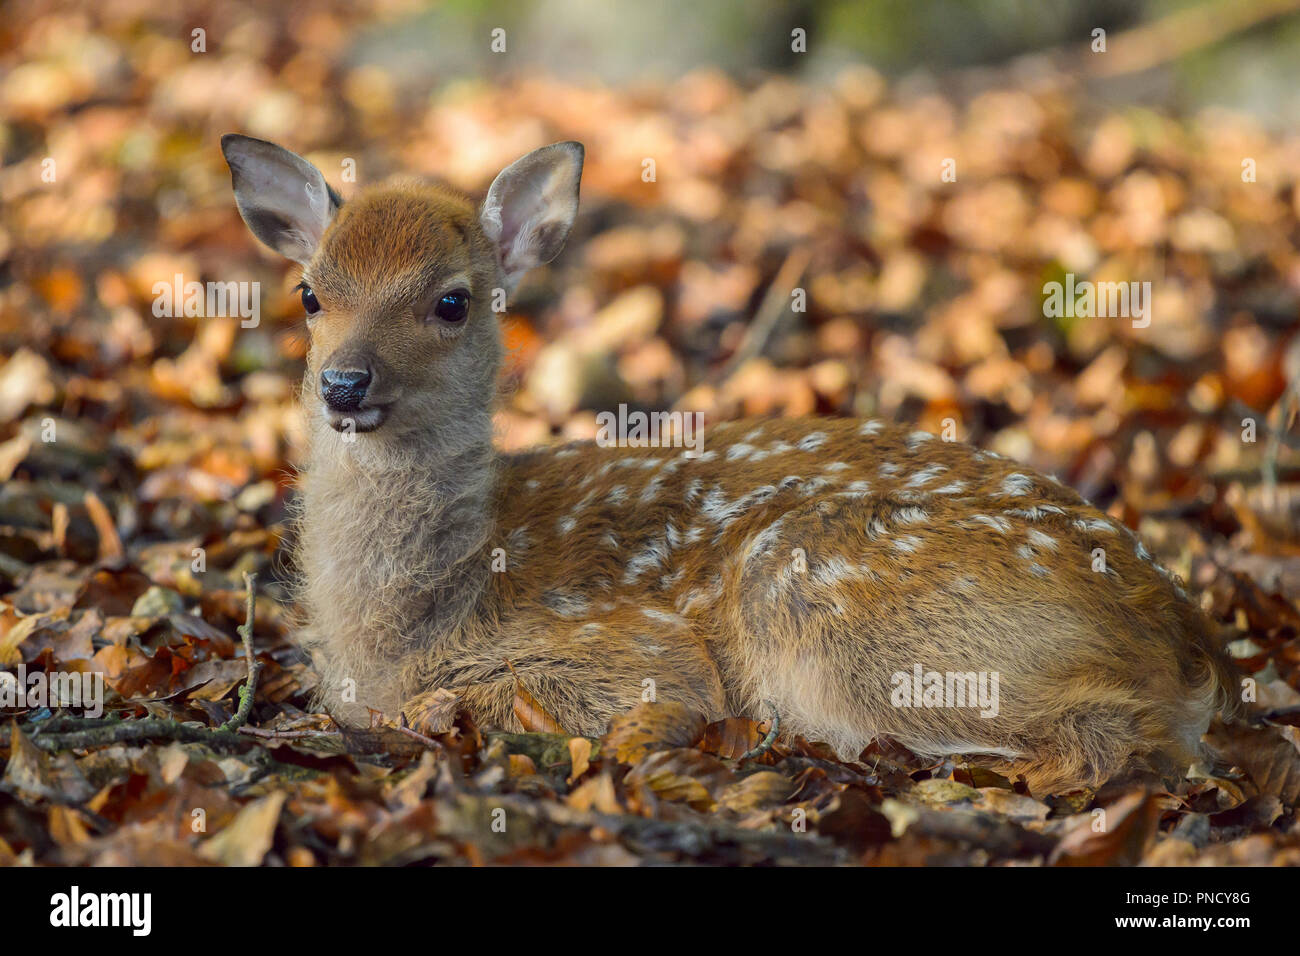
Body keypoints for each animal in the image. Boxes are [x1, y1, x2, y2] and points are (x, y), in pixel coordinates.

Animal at [221, 133, 1241, 794]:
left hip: (815, 590)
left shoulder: (639, 651)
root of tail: (1194, 640)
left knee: (1118, 739)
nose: (344, 384)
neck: (417, 620)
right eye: (310, 294)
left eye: (450, 301)